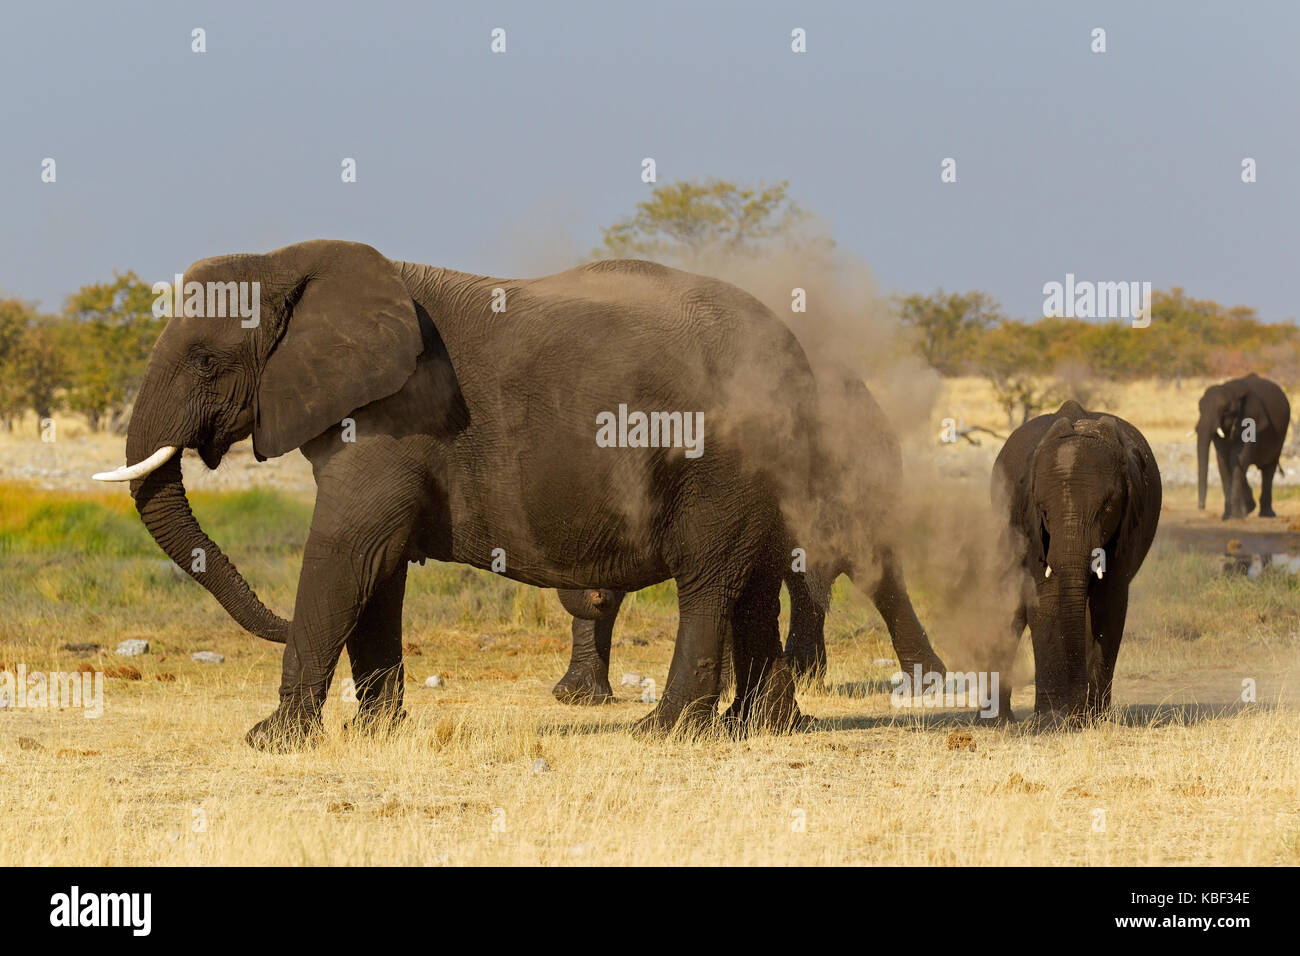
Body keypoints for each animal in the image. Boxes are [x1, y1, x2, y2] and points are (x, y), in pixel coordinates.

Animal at [92, 239, 944, 750]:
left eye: (206, 360)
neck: (292, 258)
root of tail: (799, 358)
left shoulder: (395, 416)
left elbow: (347, 551)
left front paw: (270, 739)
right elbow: (379, 569)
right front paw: (379, 735)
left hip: (719, 461)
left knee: (709, 582)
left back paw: (664, 731)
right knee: (754, 585)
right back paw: (760, 727)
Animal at [984, 401, 1161, 724]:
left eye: (1107, 507)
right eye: (1043, 510)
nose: (1076, 711)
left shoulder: (1130, 524)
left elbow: (1108, 603)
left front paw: (1093, 720)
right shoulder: (1028, 521)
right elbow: (1045, 599)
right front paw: (1050, 721)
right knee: (1012, 608)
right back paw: (1000, 721)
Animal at [1196, 373, 1290, 520]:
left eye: (1225, 411)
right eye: (1199, 408)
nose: (1201, 507)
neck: (1231, 390)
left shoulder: (1252, 421)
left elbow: (1237, 459)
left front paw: (1236, 517)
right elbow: (1223, 462)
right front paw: (1227, 516)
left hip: (1281, 436)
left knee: (1269, 469)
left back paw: (1267, 515)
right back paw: (1250, 509)